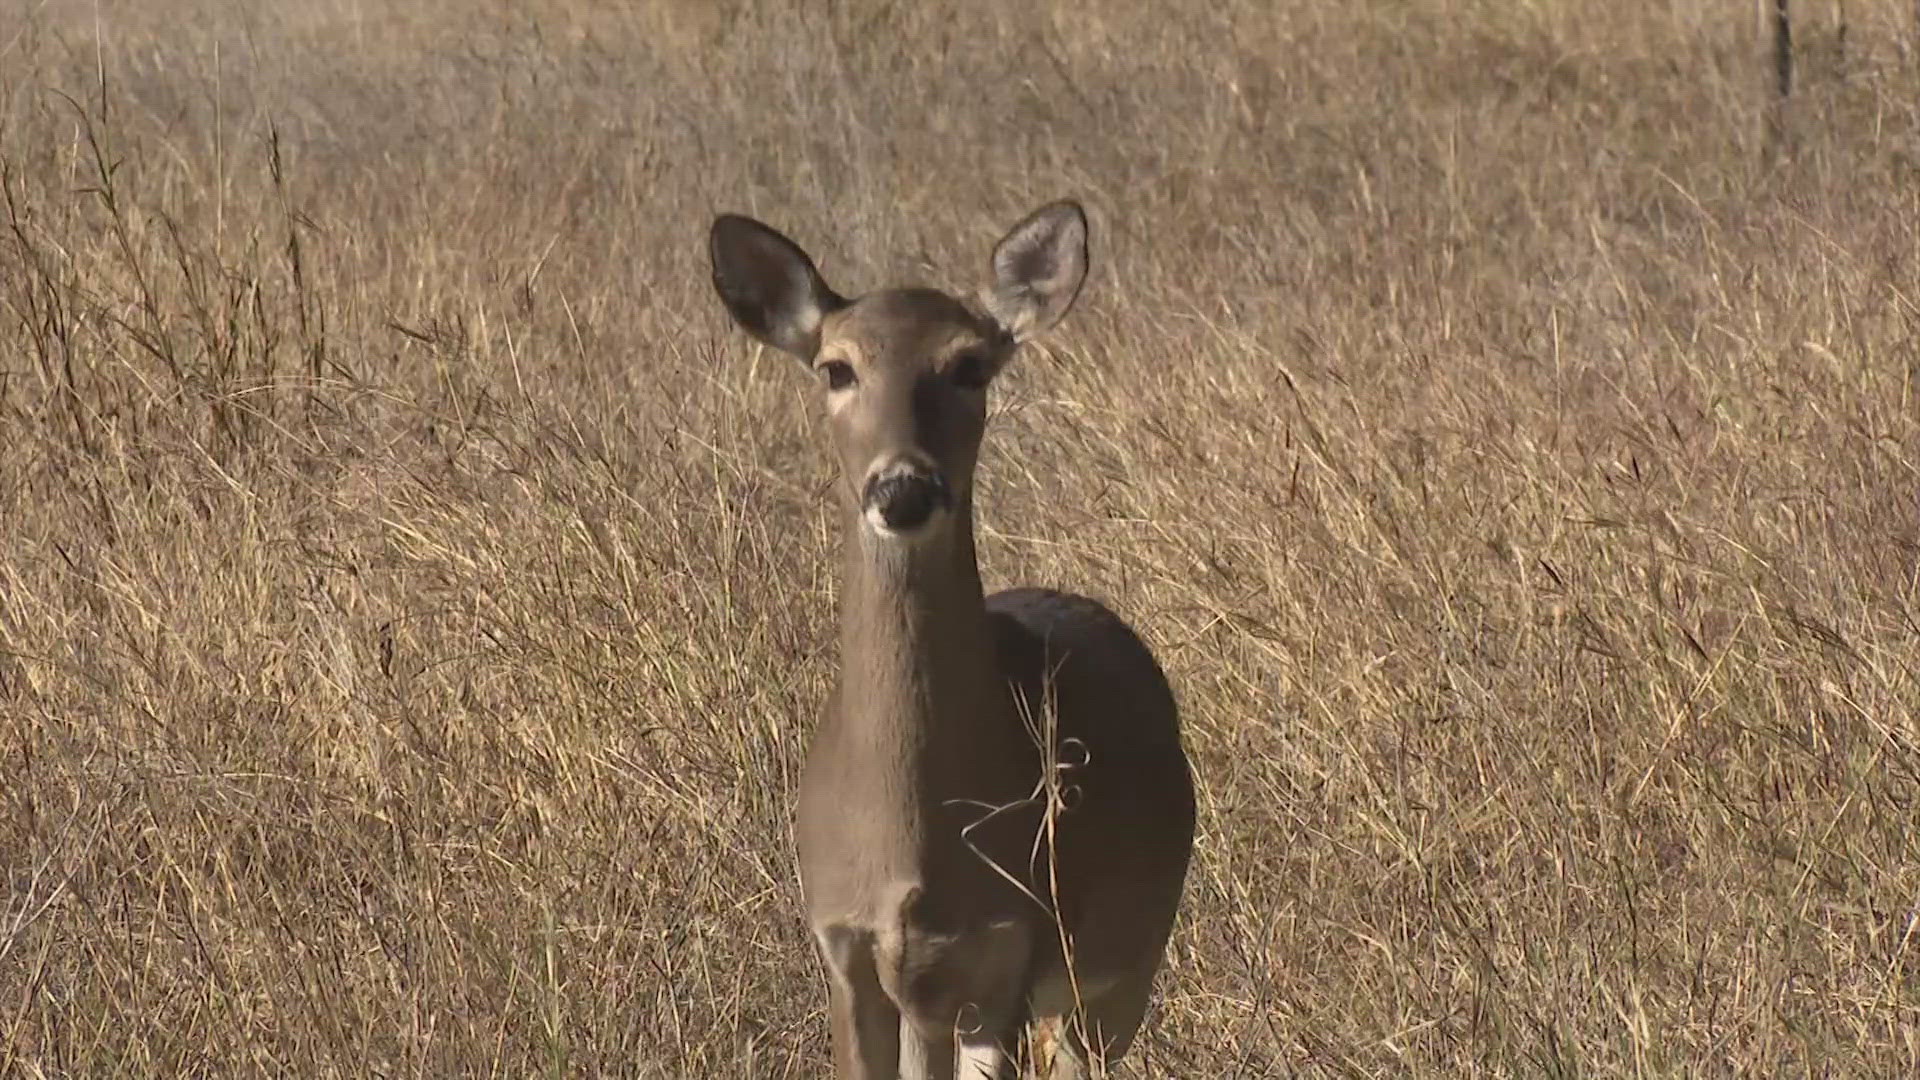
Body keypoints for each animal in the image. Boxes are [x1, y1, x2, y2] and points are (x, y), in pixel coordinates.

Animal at [707, 199, 1196, 1079]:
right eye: (836, 368)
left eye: (970, 365)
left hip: (1120, 963)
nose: (903, 488)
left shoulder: (1007, 954)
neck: (912, 843)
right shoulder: (848, 951)